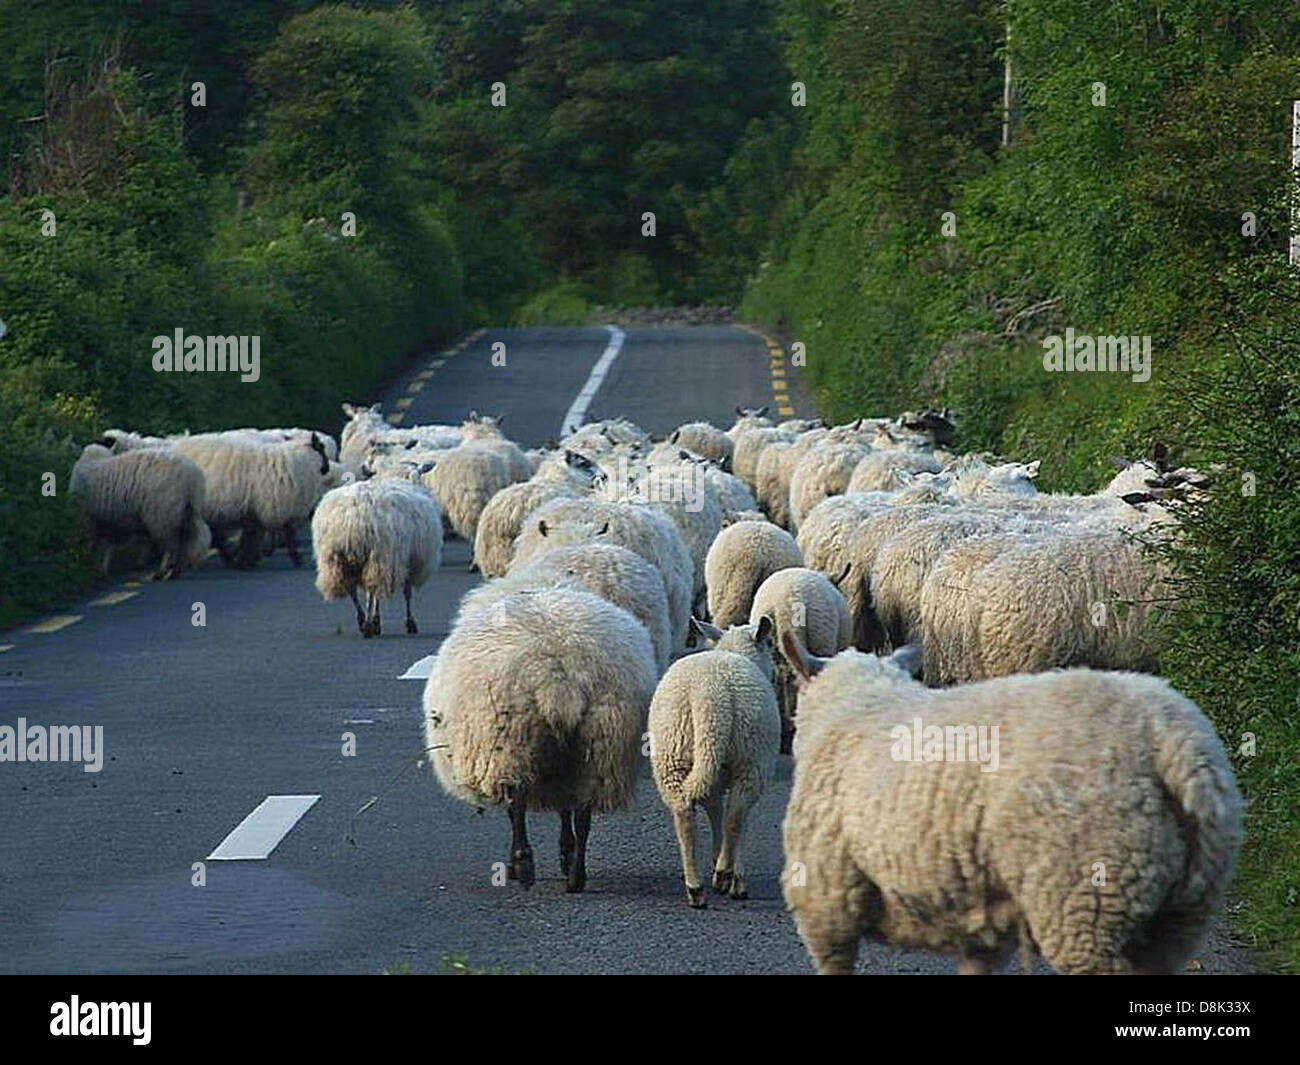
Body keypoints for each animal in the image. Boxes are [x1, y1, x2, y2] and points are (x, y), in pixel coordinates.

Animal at [69, 444, 210, 580]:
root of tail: (191, 479)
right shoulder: (108, 522)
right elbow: (107, 546)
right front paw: (102, 569)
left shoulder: (87, 519)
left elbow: (93, 545)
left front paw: (91, 567)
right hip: (184, 513)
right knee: (183, 543)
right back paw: (175, 572)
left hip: (162, 516)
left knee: (171, 547)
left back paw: (161, 572)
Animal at [311, 476, 442, 637]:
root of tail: (352, 517)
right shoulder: (410, 562)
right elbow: (407, 593)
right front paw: (409, 623)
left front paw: (377, 621)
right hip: (379, 556)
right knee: (372, 588)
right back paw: (368, 625)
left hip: (336, 560)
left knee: (351, 588)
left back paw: (362, 620)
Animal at [425, 587, 657, 892]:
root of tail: (557, 677)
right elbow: (565, 811)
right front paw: (565, 853)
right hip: (600, 745)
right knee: (583, 814)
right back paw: (575, 875)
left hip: (510, 744)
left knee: (516, 805)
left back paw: (523, 865)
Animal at [648, 616, 780, 907]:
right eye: (768, 643)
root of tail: (710, 693)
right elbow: (735, 821)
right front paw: (733, 875)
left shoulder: (714, 774)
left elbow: (714, 812)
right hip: (751, 758)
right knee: (736, 815)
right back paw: (723, 874)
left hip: (675, 752)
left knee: (685, 815)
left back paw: (695, 887)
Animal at [777, 633, 1243, 975]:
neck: (854, 705)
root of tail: (1175, 741)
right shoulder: (980, 926)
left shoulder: (827, 903)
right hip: (1180, 915)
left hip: (1087, 900)